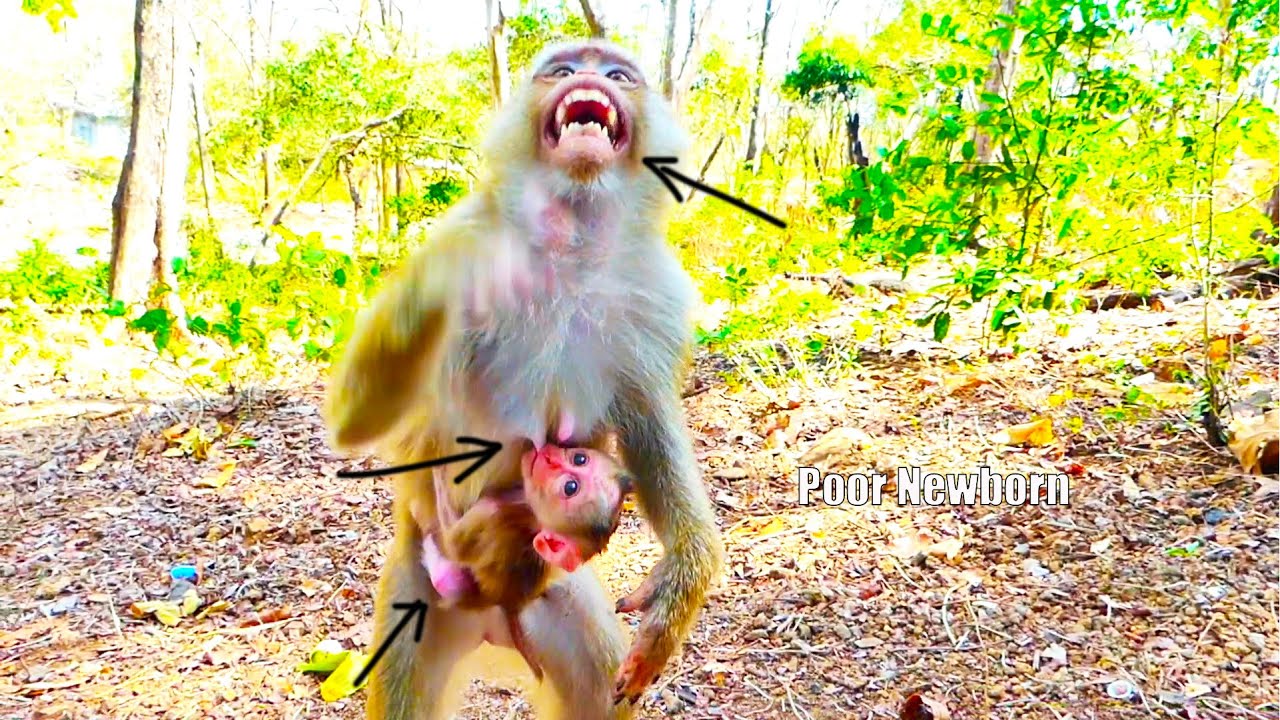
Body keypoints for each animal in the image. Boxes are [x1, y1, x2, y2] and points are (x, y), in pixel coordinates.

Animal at [325, 39, 724, 719]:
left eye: (617, 75)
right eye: (562, 70)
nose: (588, 76)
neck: (571, 245)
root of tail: (490, 610)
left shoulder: (654, 292)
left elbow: (647, 421)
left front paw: (682, 580)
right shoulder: (472, 236)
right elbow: (357, 419)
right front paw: (447, 273)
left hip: (555, 595)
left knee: (598, 692)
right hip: (418, 594)